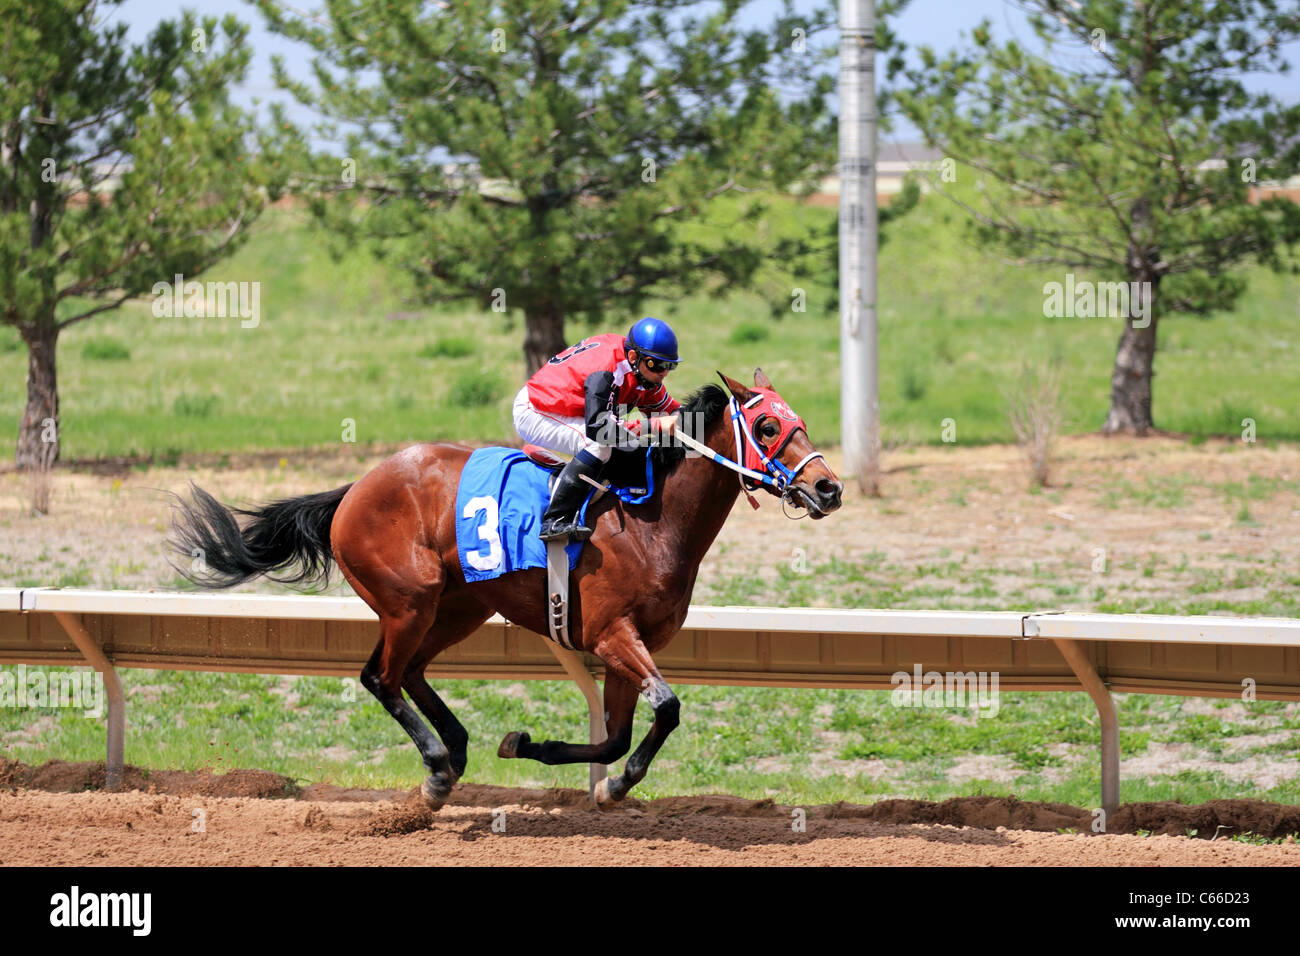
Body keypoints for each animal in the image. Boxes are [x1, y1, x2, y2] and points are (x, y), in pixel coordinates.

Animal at [168, 369, 843, 809]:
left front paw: (548, 755)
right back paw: (437, 770)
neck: (652, 520)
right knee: (381, 677)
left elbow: (617, 735)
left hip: (458, 607)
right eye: (766, 424)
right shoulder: (611, 634)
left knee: (409, 673)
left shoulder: (628, 648)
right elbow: (666, 710)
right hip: (409, 600)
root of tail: (356, 487)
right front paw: (610, 778)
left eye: (802, 422)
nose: (830, 488)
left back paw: (457, 749)